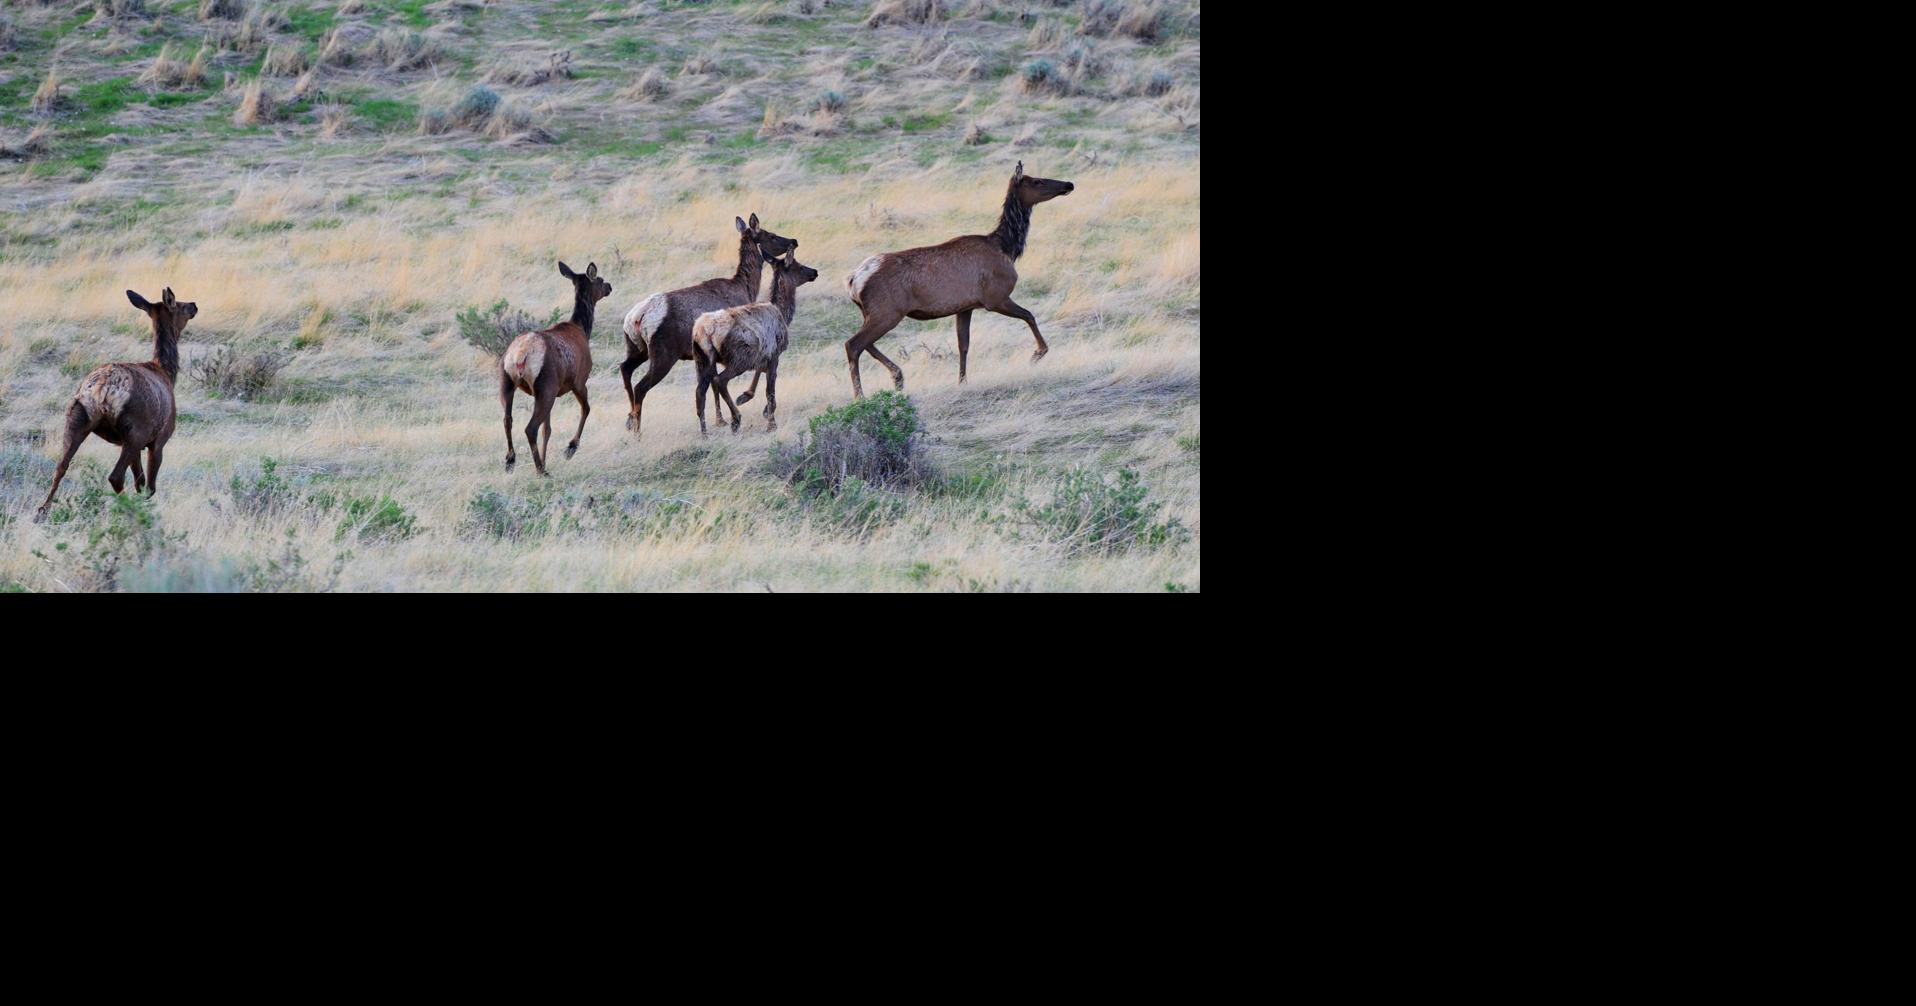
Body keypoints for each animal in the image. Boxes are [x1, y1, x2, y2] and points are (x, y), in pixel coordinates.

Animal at [34, 288, 197, 522]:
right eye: (181, 305)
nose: (194, 305)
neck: (167, 373)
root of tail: (102, 390)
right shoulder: (159, 439)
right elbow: (149, 487)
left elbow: (140, 482)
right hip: (135, 430)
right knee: (115, 477)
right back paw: (129, 510)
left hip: (76, 418)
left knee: (60, 467)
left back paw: (42, 512)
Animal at [501, 261, 612, 476]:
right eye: (600, 279)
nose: (610, 286)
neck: (582, 329)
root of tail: (520, 356)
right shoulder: (579, 381)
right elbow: (586, 409)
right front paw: (570, 448)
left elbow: (548, 429)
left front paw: (547, 460)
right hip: (547, 386)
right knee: (530, 428)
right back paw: (540, 470)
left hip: (508, 381)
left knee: (507, 419)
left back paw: (511, 461)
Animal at [617, 213, 798, 439]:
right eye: (771, 235)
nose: (794, 241)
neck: (746, 288)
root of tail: (637, 317)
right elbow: (716, 382)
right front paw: (725, 418)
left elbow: (708, 384)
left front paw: (719, 420)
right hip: (663, 354)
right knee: (641, 386)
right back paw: (638, 431)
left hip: (636, 348)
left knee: (625, 368)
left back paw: (629, 420)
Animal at [693, 249, 820, 433]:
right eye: (799, 266)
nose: (815, 272)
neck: (783, 314)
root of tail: (704, 331)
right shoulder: (775, 353)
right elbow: (770, 390)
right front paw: (771, 422)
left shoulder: (764, 353)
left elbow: (760, 372)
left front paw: (746, 396)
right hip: (739, 358)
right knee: (719, 381)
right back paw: (736, 419)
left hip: (701, 359)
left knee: (699, 393)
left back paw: (705, 433)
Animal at [844, 160, 1074, 397]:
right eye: (1037, 181)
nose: (1069, 184)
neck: (1007, 249)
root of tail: (854, 280)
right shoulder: (995, 297)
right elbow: (1029, 315)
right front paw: (1038, 353)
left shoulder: (965, 306)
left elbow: (963, 345)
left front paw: (962, 381)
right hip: (888, 312)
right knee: (853, 344)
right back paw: (861, 394)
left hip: (871, 312)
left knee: (866, 344)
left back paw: (897, 377)